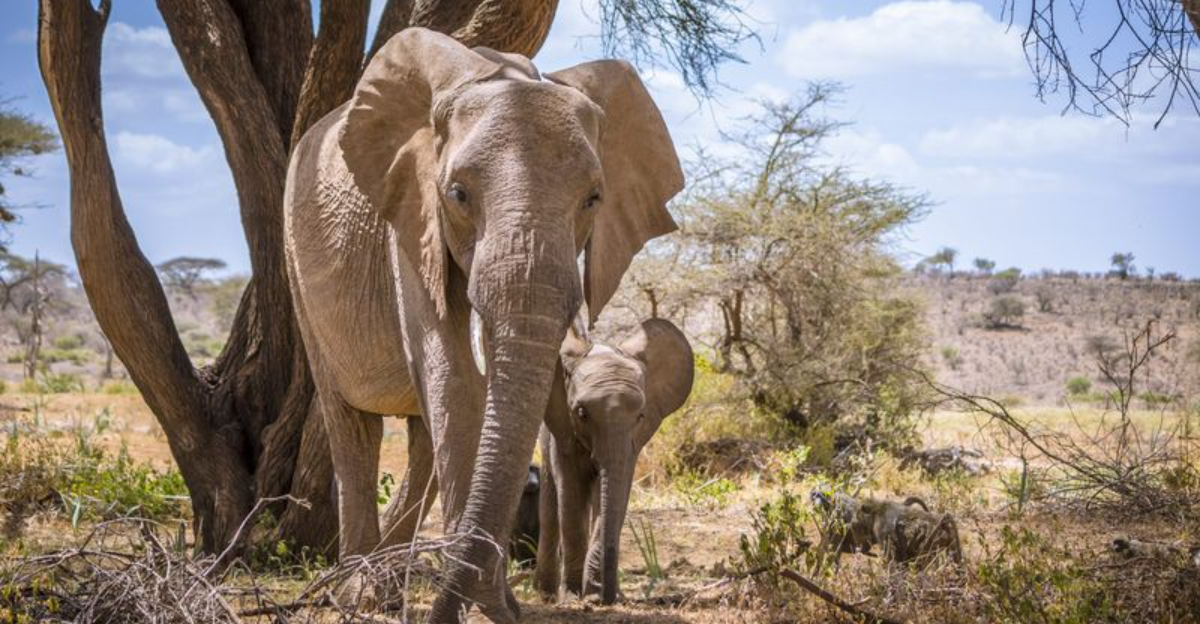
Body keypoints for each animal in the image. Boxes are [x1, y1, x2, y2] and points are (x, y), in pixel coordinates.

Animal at [534, 318, 694, 604]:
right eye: (581, 413)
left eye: (640, 416)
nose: (606, 597)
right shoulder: (563, 430)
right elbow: (571, 497)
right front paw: (573, 596)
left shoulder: (631, 445)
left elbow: (616, 494)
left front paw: (594, 593)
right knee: (550, 505)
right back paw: (546, 594)